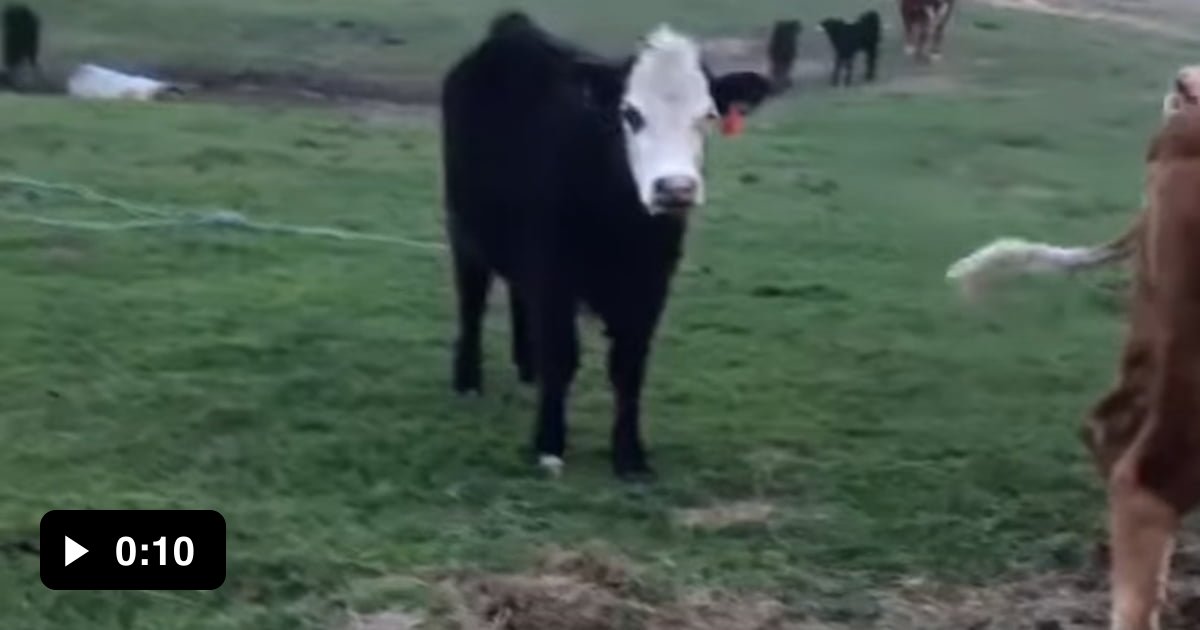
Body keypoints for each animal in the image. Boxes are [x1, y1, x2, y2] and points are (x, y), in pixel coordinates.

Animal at [440, 12, 756, 480]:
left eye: (709, 115)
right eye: (631, 114)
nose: (675, 189)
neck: (621, 227)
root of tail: (512, 29)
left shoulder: (650, 284)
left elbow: (629, 366)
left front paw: (630, 456)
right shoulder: (554, 273)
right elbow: (561, 356)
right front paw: (549, 446)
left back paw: (527, 367)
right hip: (464, 228)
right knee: (472, 301)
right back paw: (467, 381)